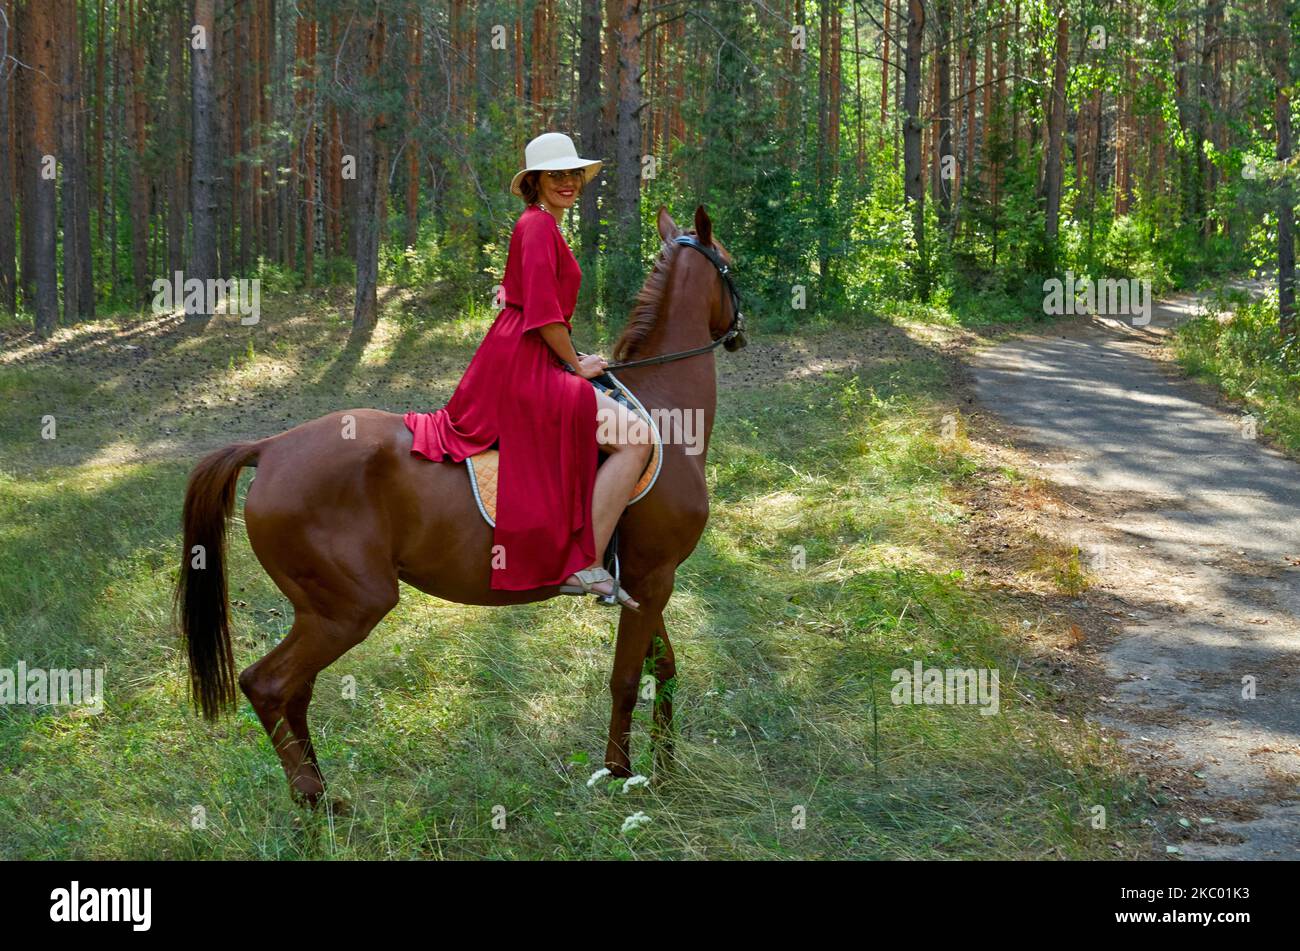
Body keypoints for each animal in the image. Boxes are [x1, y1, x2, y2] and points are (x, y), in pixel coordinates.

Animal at [176, 204, 747, 806]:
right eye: (730, 266)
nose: (740, 333)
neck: (663, 412)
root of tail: (270, 448)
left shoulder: (642, 583)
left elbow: (666, 666)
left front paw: (666, 766)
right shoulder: (654, 576)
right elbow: (628, 678)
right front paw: (619, 772)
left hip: (320, 612)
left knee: (294, 693)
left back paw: (322, 795)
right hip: (348, 609)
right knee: (268, 685)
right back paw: (312, 800)